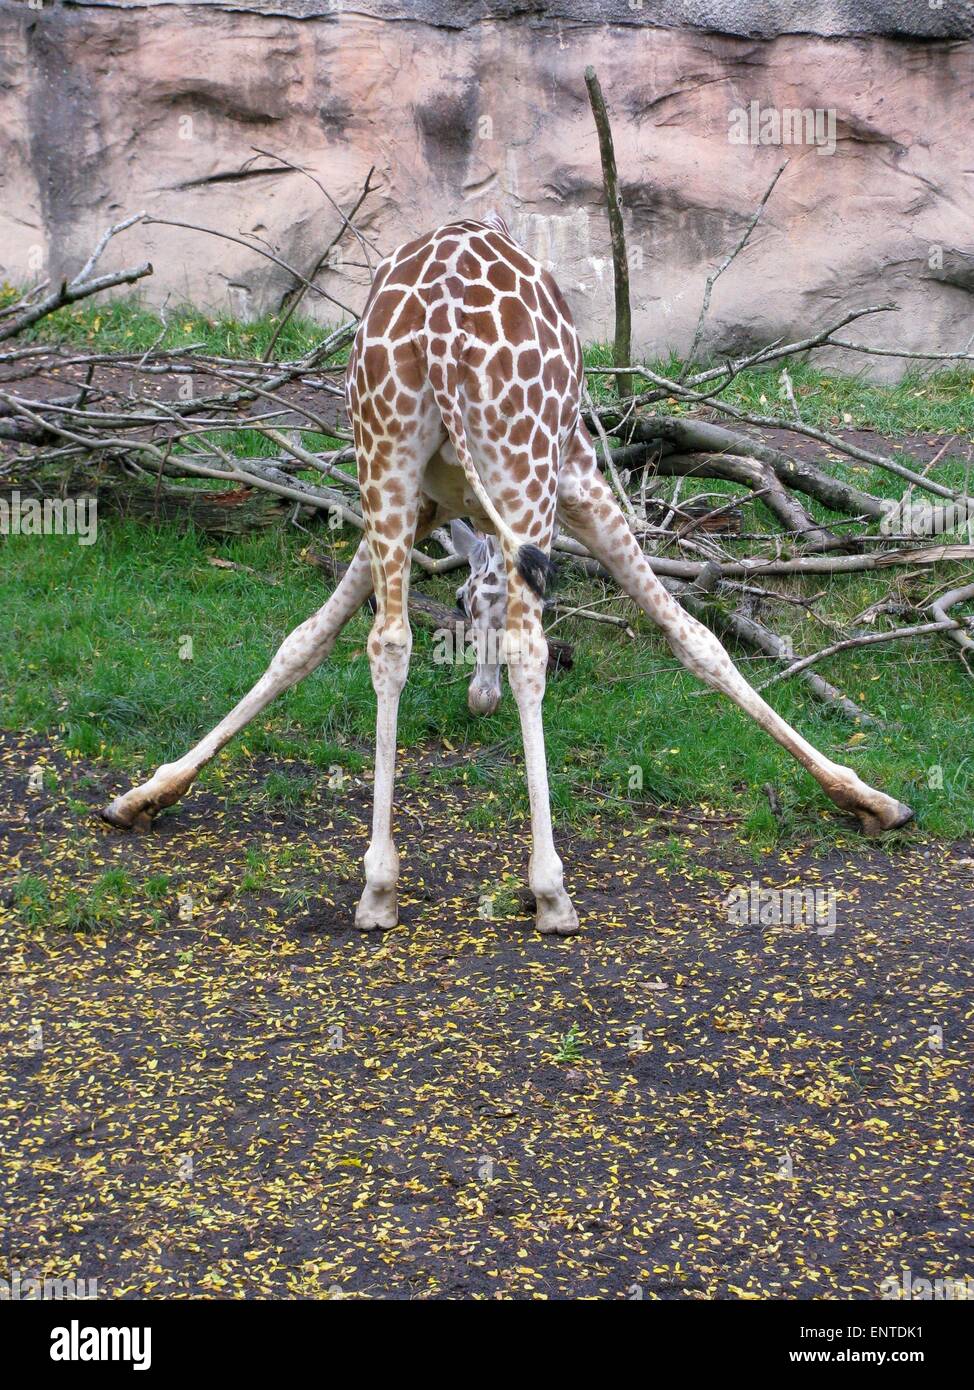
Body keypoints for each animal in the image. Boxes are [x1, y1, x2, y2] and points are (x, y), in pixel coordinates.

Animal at [101, 214, 913, 933]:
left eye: (464, 601)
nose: (476, 698)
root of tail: (438, 322)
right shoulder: (577, 480)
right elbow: (696, 639)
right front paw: (875, 800)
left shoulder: (421, 506)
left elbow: (303, 641)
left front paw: (145, 795)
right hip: (524, 469)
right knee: (530, 650)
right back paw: (550, 891)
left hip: (383, 457)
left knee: (388, 641)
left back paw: (378, 888)